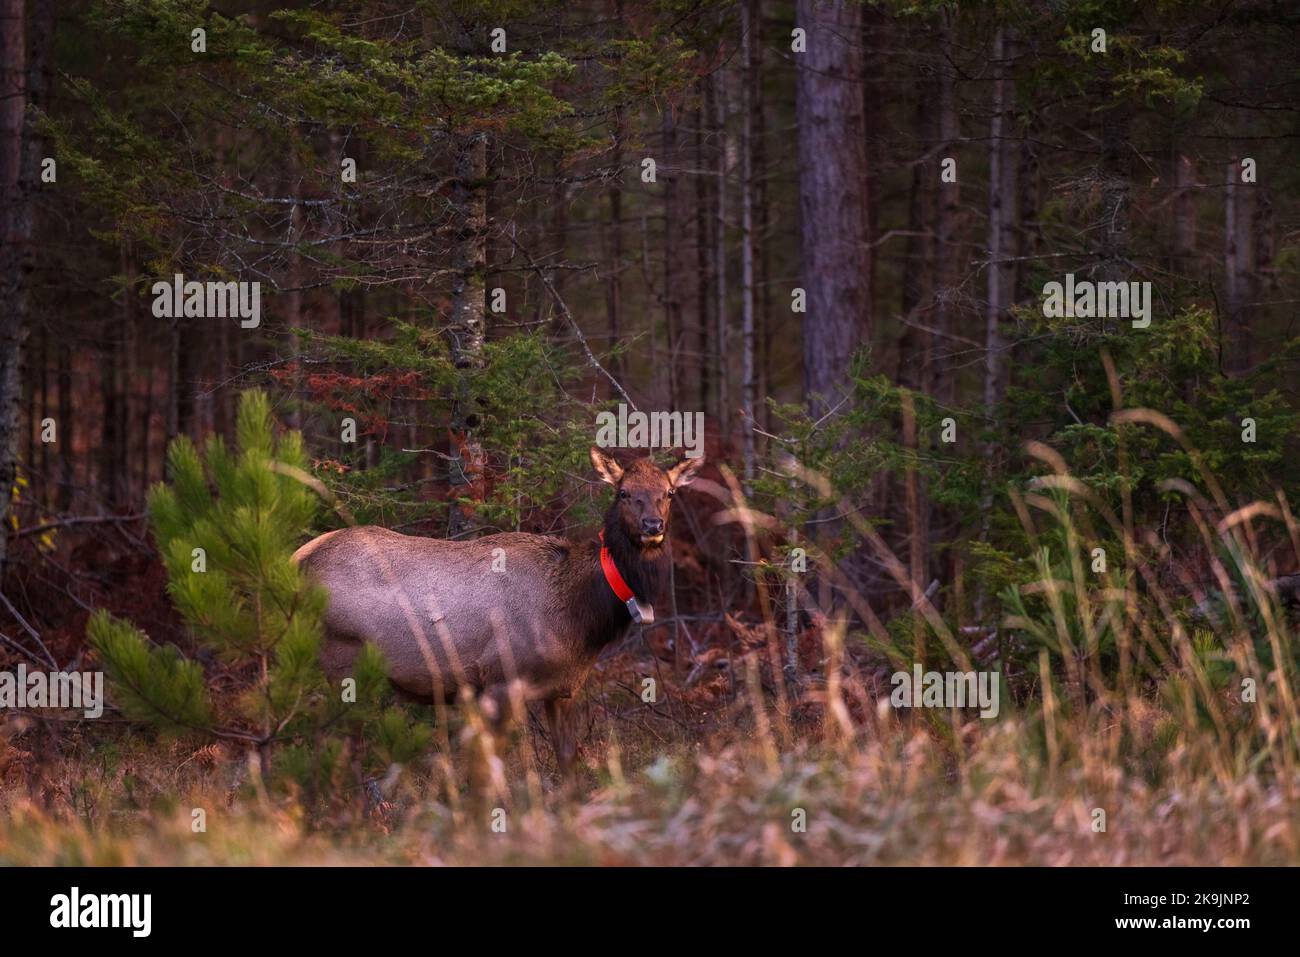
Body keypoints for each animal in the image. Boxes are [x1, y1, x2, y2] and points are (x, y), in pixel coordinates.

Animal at [293, 447, 704, 775]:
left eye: (669, 492)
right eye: (623, 492)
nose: (653, 525)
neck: (580, 613)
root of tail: (299, 558)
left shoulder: (564, 689)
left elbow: (568, 762)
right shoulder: (499, 678)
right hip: (341, 662)